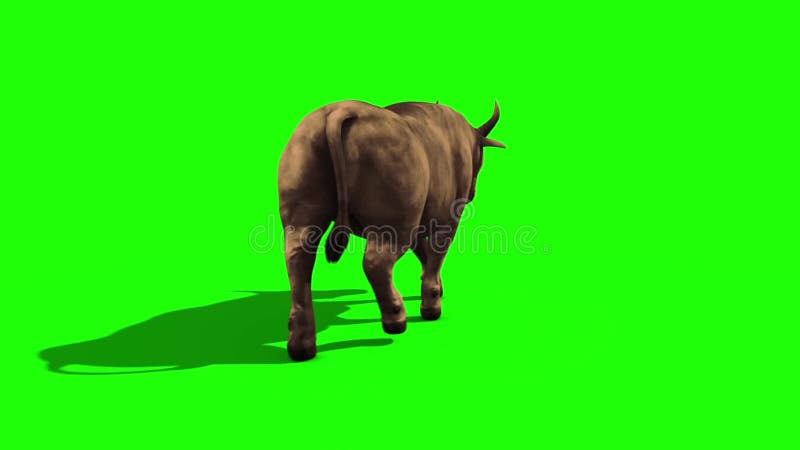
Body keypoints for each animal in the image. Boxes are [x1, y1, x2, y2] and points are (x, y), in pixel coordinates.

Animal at [278, 100, 505, 361]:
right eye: (480, 156)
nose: (473, 192)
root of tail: (340, 110)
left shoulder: (419, 221)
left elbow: (425, 256)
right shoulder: (446, 219)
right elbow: (435, 258)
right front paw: (432, 304)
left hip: (301, 217)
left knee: (299, 262)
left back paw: (301, 345)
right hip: (393, 227)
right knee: (376, 263)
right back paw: (396, 318)